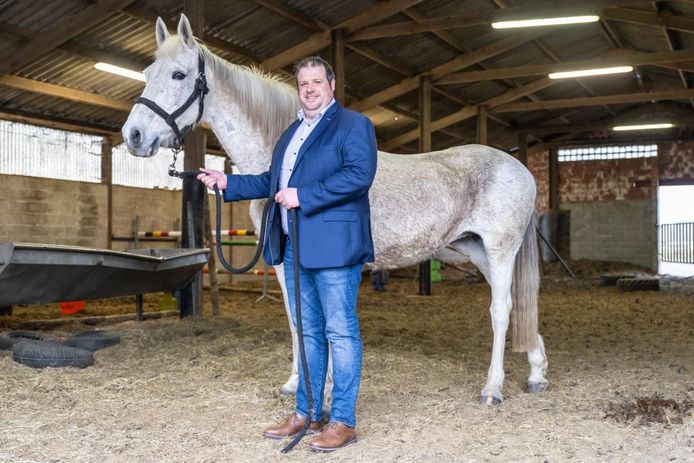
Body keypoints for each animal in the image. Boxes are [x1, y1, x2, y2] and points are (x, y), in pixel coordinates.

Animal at [122, 14, 549, 406]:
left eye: (178, 74)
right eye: (147, 72)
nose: (133, 136)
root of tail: (521, 169)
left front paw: (322, 388)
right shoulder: (282, 261)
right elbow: (295, 318)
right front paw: (296, 383)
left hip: (500, 250)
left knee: (501, 310)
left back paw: (492, 388)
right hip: (478, 252)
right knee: (518, 303)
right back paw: (537, 372)